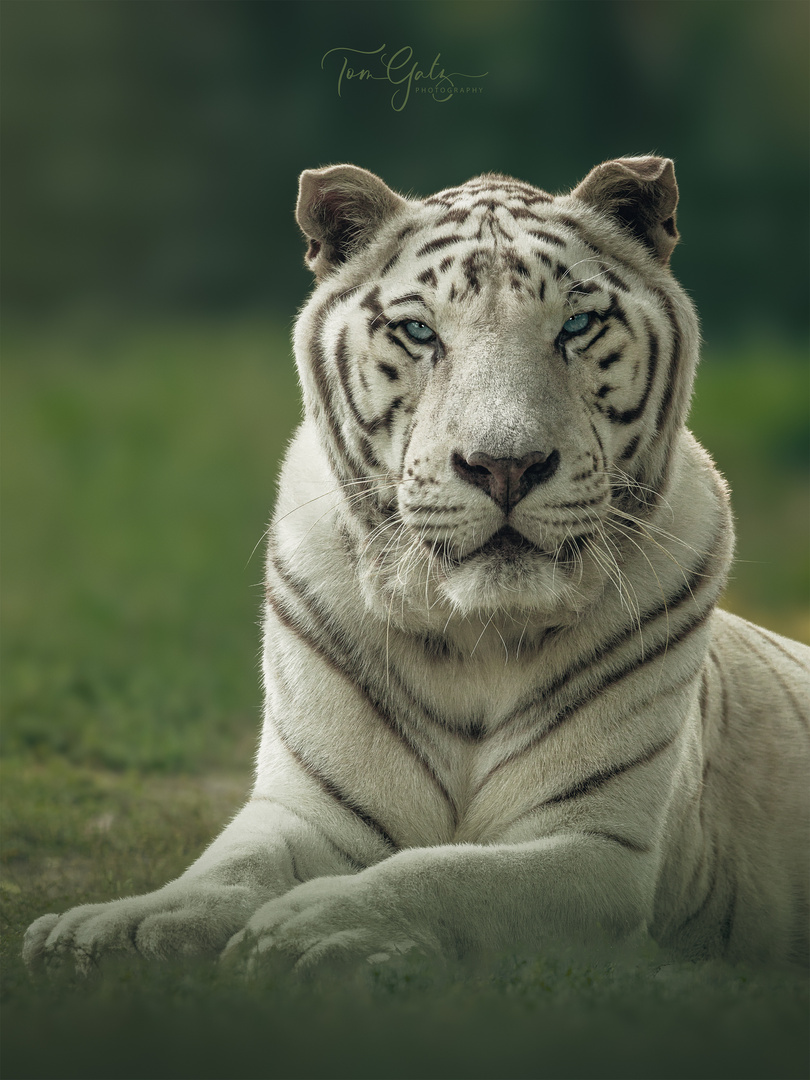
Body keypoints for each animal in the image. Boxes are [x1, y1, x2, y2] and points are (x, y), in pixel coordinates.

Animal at [24, 157, 810, 975]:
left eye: (576, 325)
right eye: (419, 332)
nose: (505, 466)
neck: (478, 638)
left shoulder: (601, 847)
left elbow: (449, 877)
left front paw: (307, 927)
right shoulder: (307, 809)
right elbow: (227, 867)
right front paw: (108, 929)